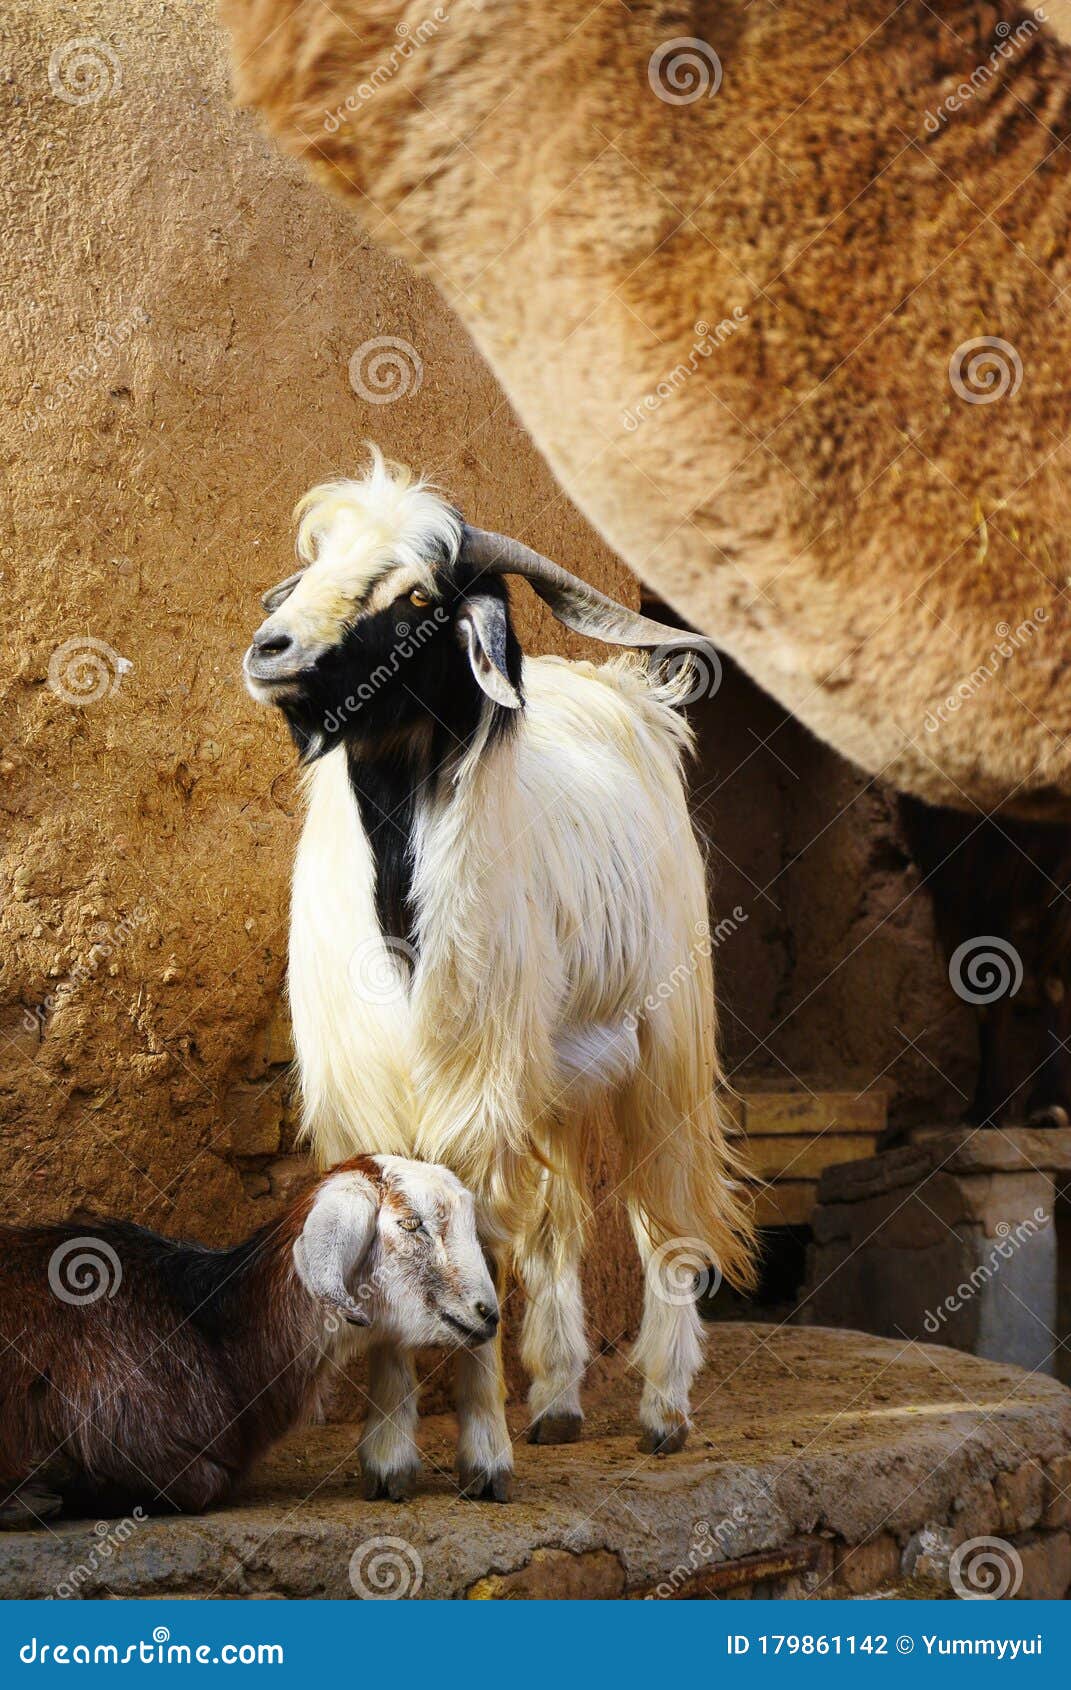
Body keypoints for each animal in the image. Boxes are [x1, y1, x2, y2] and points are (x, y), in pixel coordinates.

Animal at [0, 1154, 497, 1524]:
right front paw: (45, 1488)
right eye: (411, 1224)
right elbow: (201, 1482)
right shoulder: (129, 1423)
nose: (488, 1314)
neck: (218, 1336)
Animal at [243, 449, 756, 1504]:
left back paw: (663, 1411)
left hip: (665, 1043)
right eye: (315, 562)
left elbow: (477, 1254)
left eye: (412, 594)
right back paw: (557, 1403)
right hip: (549, 1072)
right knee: (559, 1224)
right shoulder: (370, 1101)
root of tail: (628, 702)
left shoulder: (475, 1098)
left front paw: (482, 1457)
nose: (270, 649)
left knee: (664, 1216)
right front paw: (389, 1461)